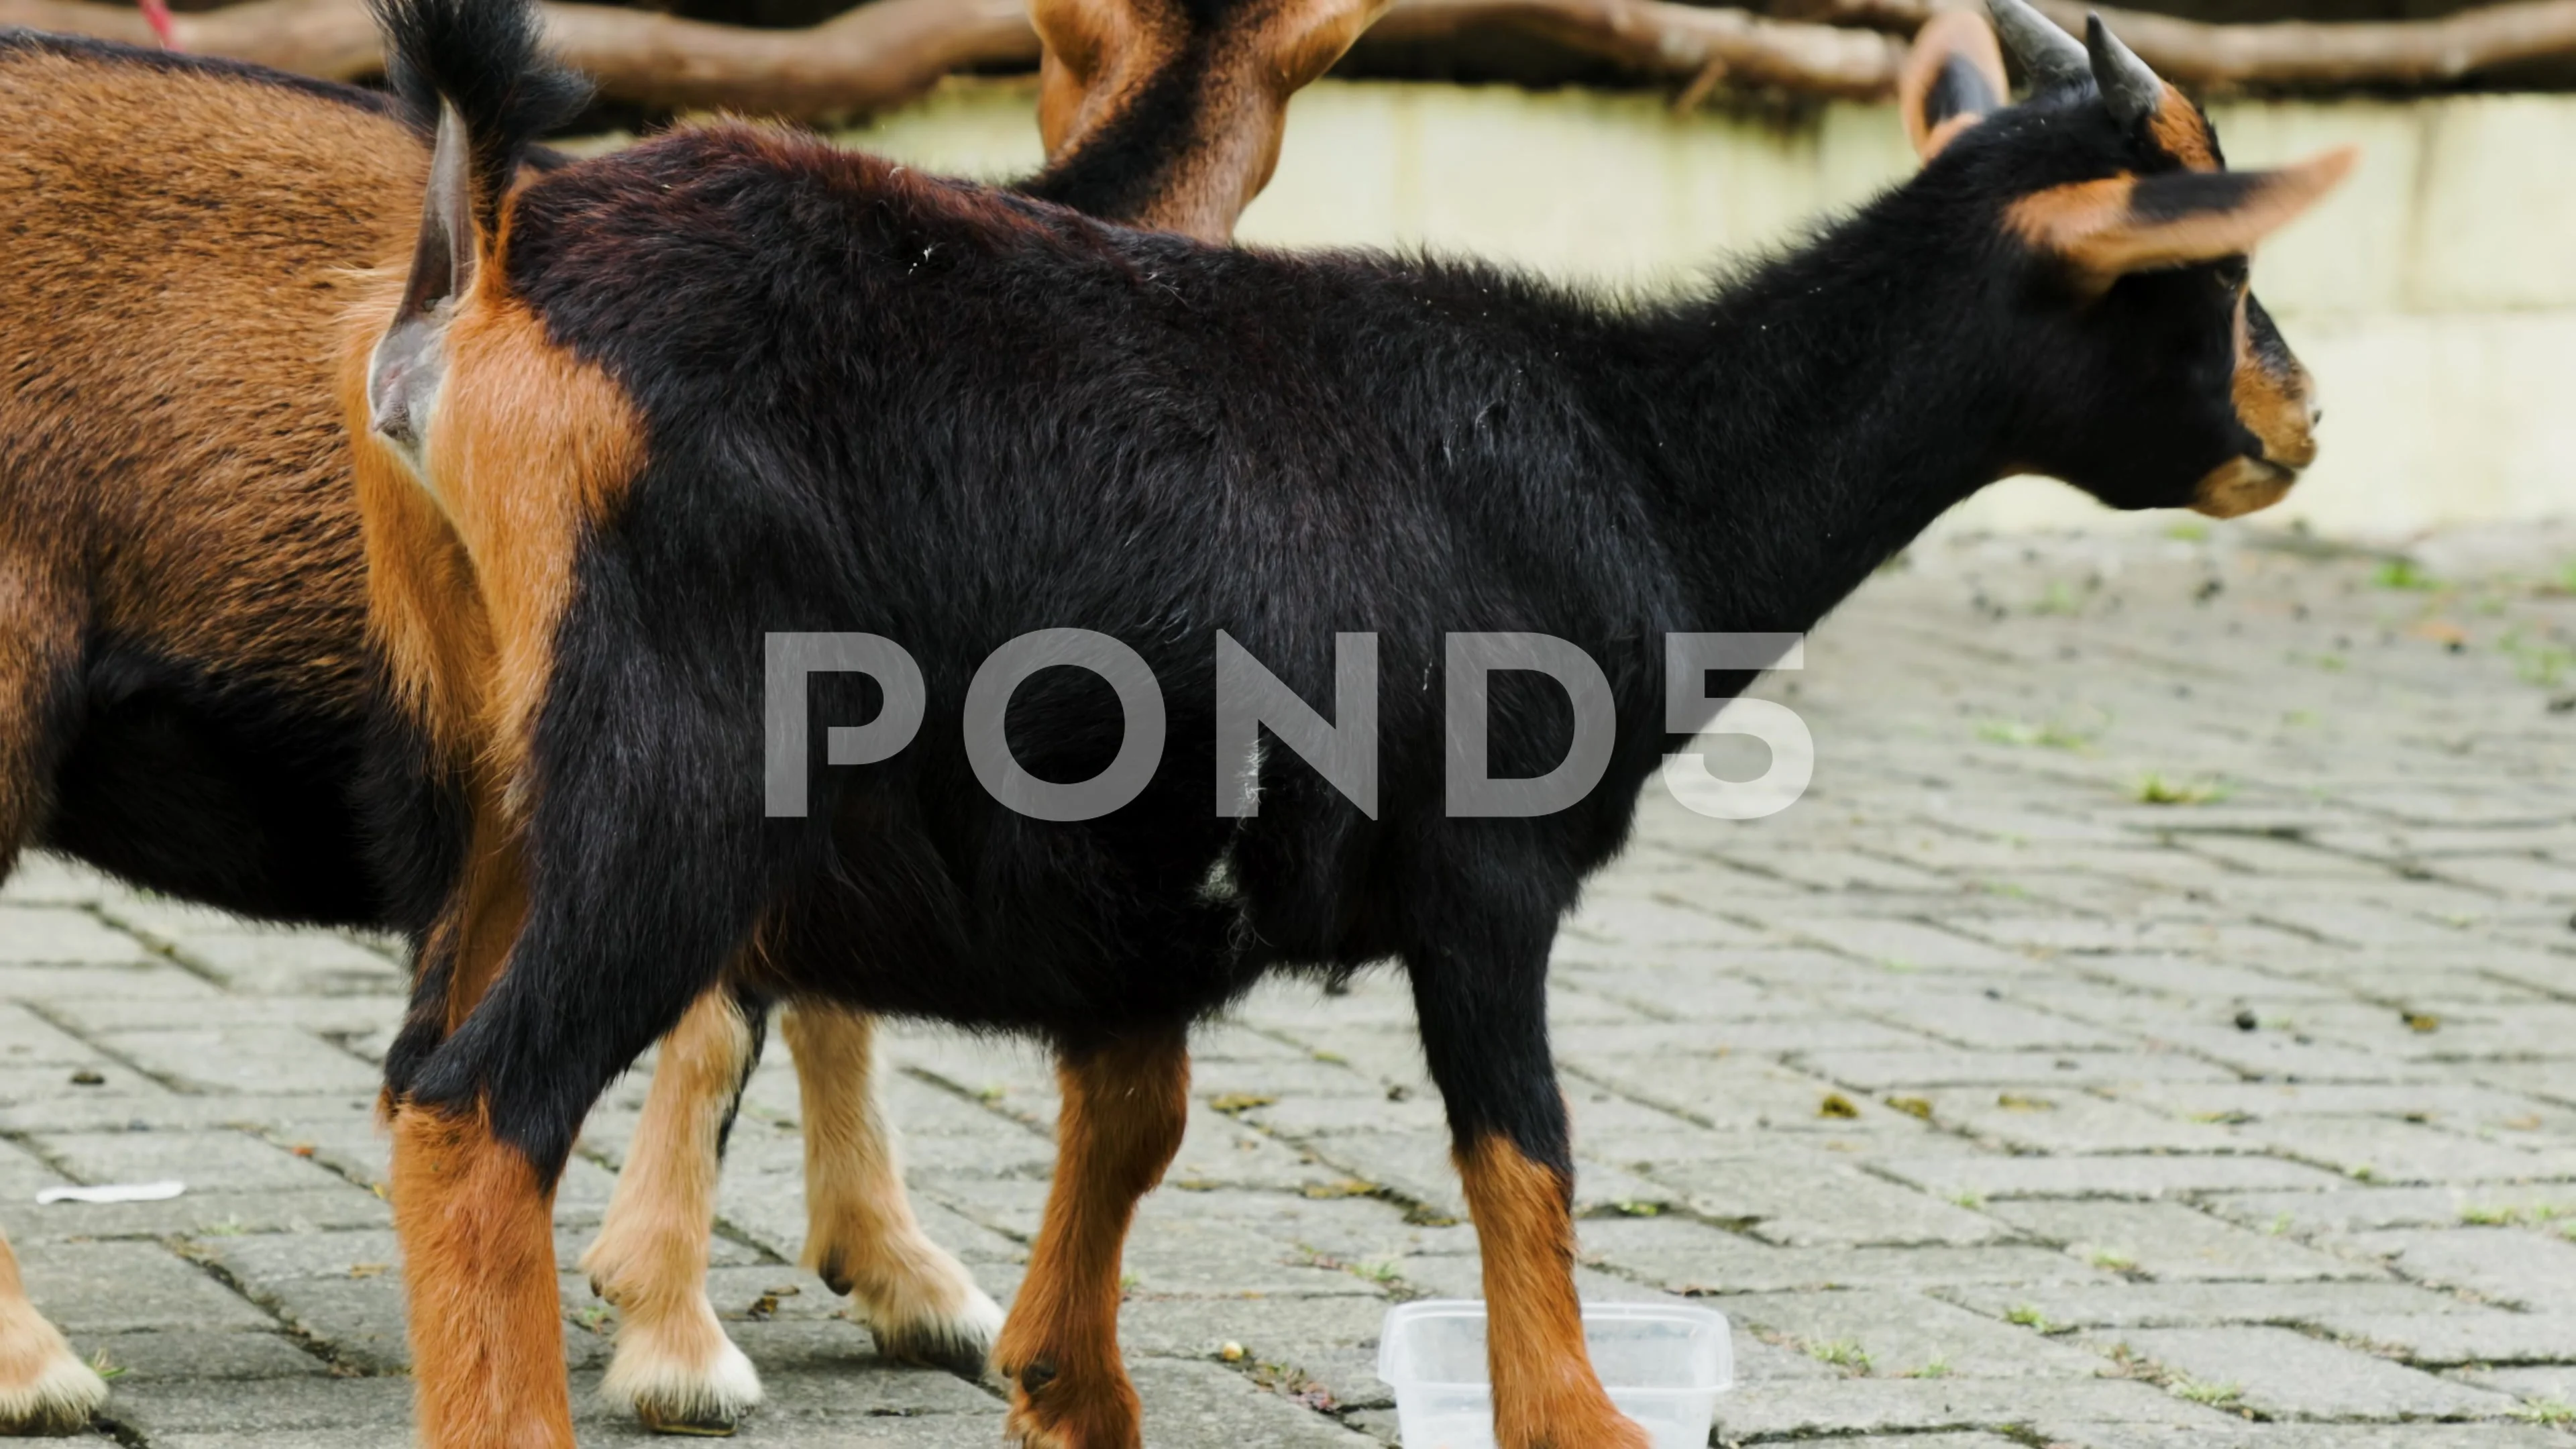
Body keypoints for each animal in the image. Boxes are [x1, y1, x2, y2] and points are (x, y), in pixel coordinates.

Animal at [353, 0, 2349, 1443]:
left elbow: (1134, 1130)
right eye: (2209, 264)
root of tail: (496, 269)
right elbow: (1524, 1164)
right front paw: (1580, 1414)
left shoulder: (1141, 903)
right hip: (682, 783)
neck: (1646, 457)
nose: (2302, 420)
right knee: (480, 1109)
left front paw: (1057, 1380)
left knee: (412, 1076)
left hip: (503, 789)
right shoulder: (1486, 875)